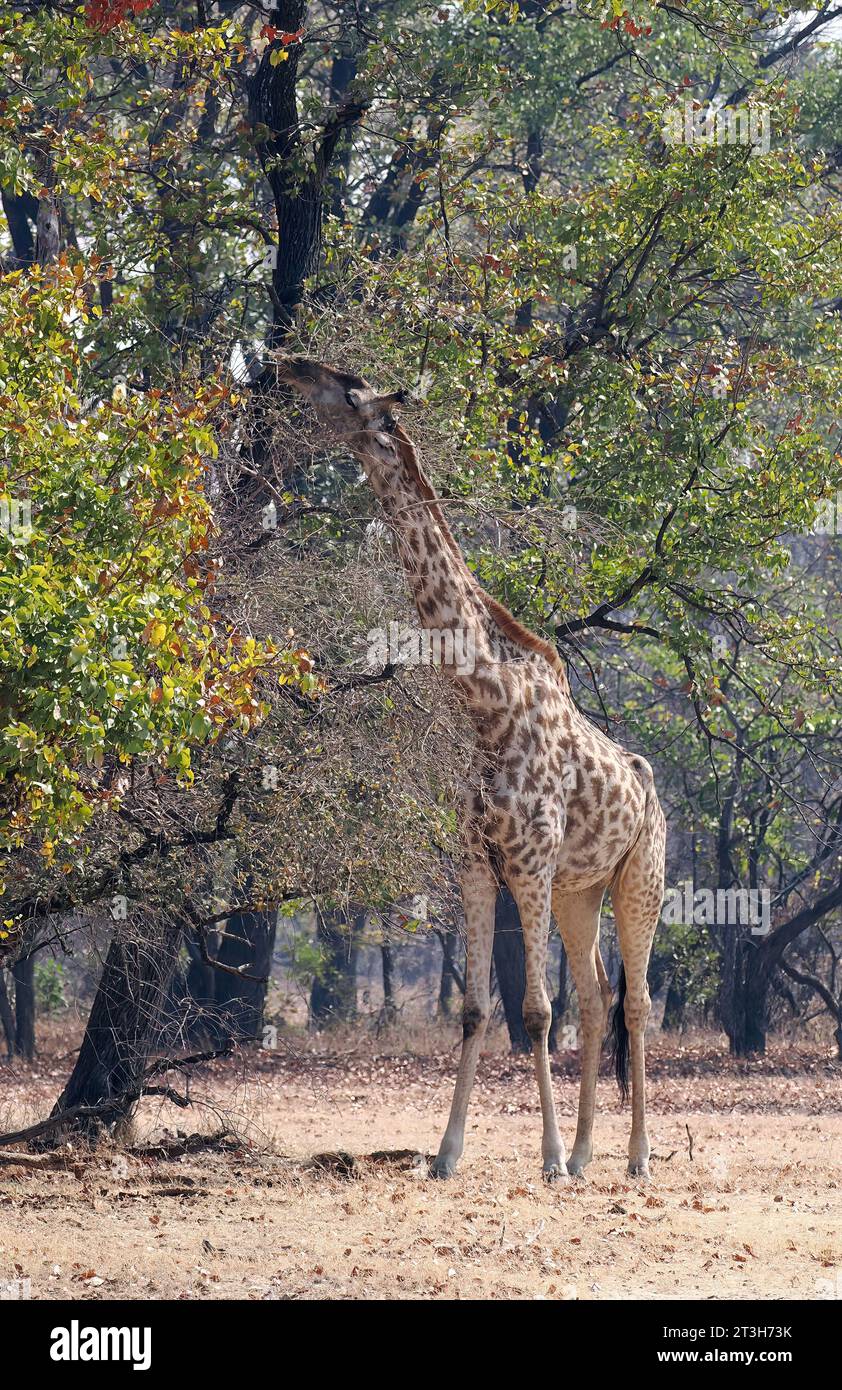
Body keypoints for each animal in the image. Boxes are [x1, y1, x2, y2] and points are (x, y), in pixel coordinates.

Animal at [276, 356, 666, 1181]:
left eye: (347, 390)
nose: (287, 365)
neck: (485, 704)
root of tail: (650, 788)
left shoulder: (530, 862)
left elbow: (535, 1011)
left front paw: (544, 1160)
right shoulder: (478, 866)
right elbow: (477, 1007)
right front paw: (448, 1154)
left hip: (640, 876)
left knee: (636, 1001)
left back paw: (635, 1158)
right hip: (581, 892)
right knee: (596, 996)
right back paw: (587, 1154)